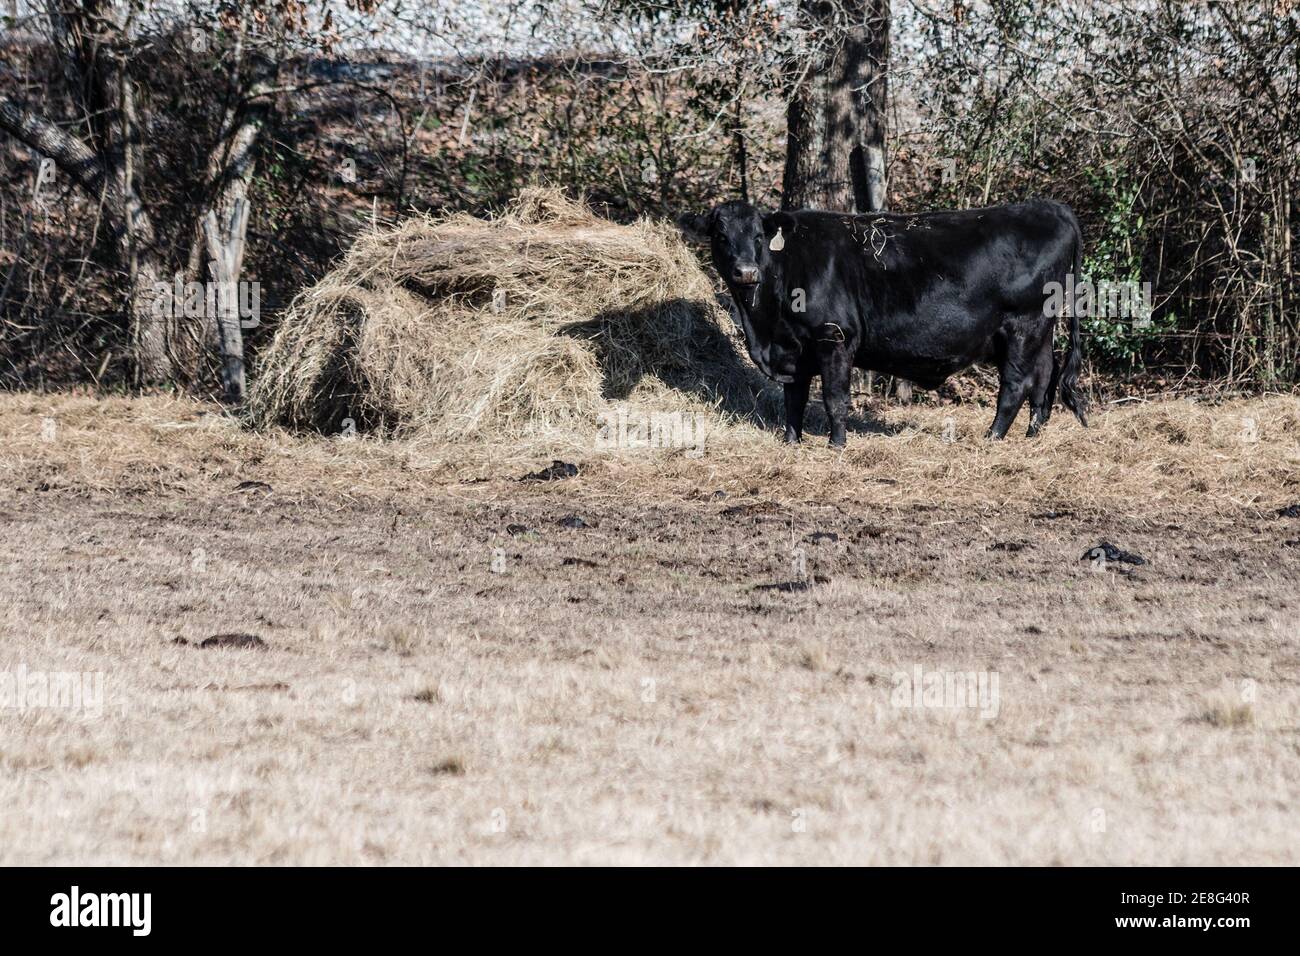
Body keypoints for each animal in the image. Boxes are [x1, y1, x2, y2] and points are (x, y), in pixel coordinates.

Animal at [678, 199, 1088, 446]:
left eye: (759, 236)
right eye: (720, 235)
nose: (746, 272)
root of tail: (1048, 207)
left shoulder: (835, 338)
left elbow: (835, 398)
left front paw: (837, 444)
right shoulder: (794, 348)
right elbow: (794, 398)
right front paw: (792, 441)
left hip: (1022, 325)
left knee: (1017, 384)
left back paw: (993, 437)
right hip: (1039, 331)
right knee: (1044, 377)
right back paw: (1033, 436)